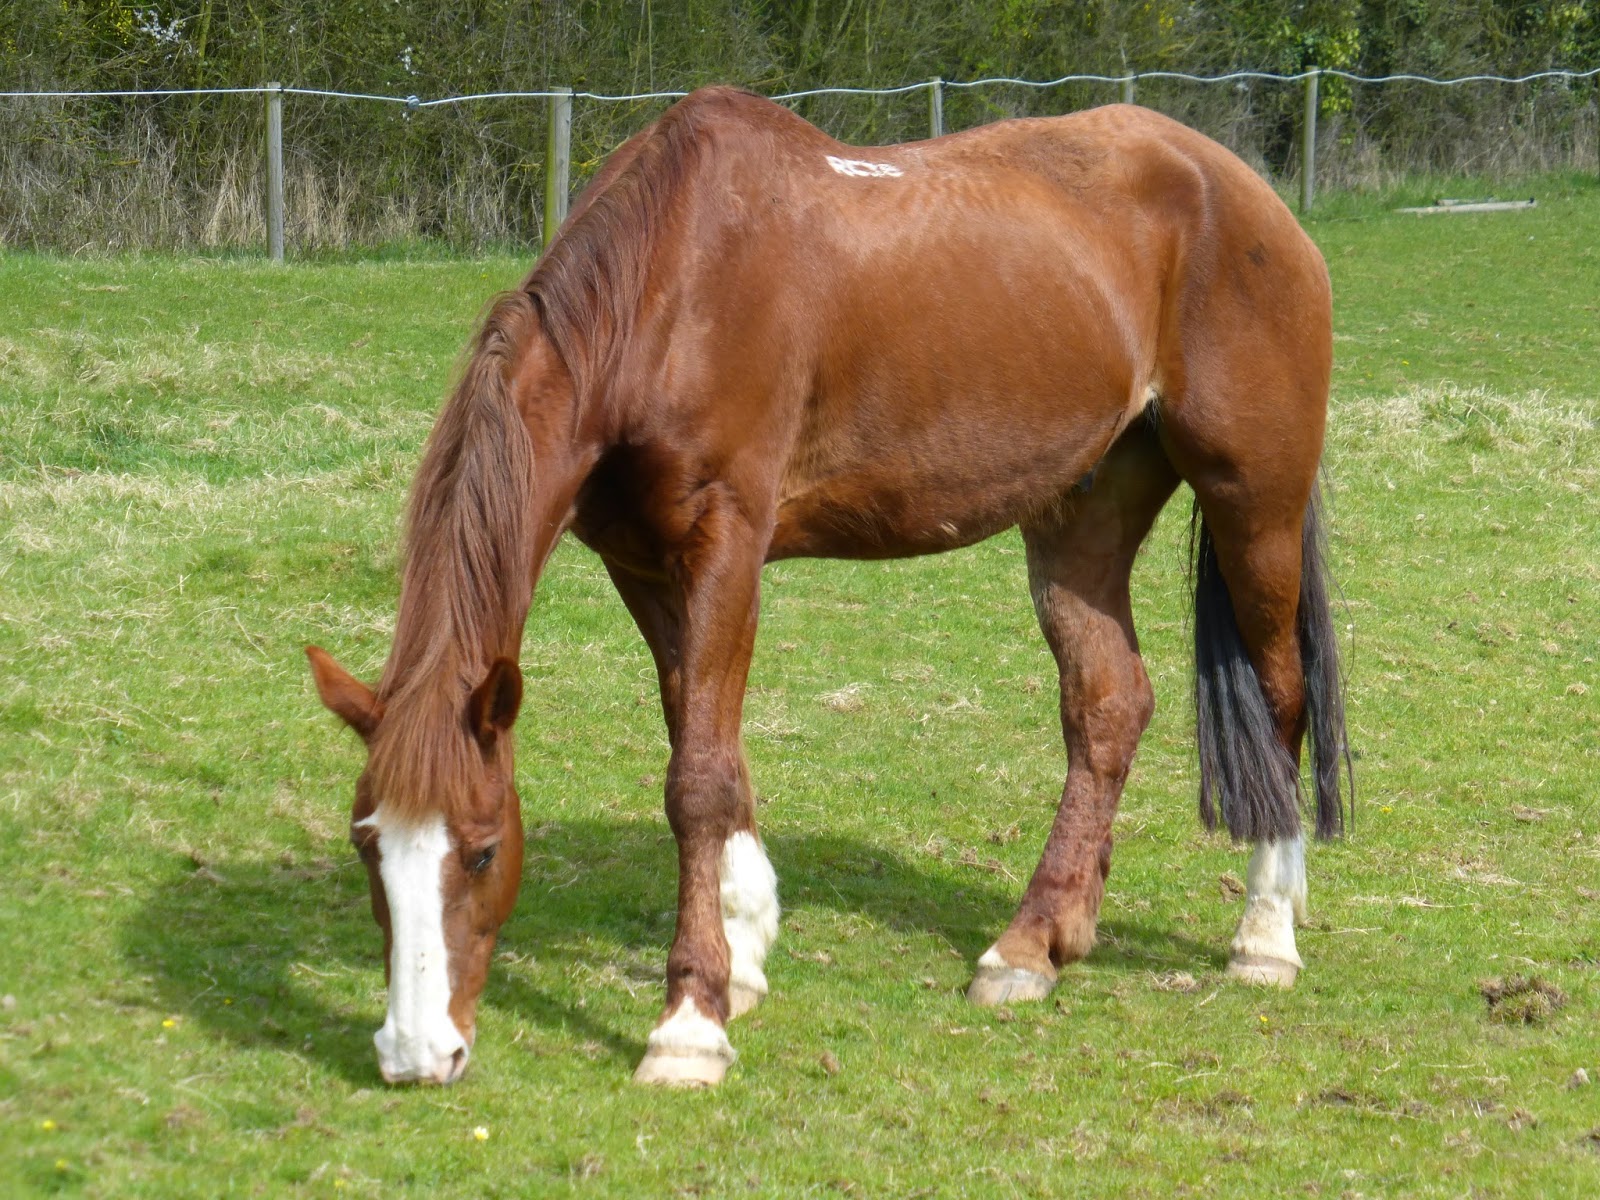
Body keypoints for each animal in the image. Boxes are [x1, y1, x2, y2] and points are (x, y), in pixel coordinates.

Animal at [306, 86, 1351, 1088]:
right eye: (367, 844)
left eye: (483, 849)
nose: (416, 1051)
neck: (670, 289)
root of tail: (1246, 191)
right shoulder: (642, 565)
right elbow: (702, 736)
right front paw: (745, 946)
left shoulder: (725, 546)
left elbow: (696, 778)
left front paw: (690, 1025)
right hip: (1082, 514)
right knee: (1107, 705)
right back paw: (1036, 942)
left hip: (1253, 504)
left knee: (1281, 694)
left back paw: (1265, 933)